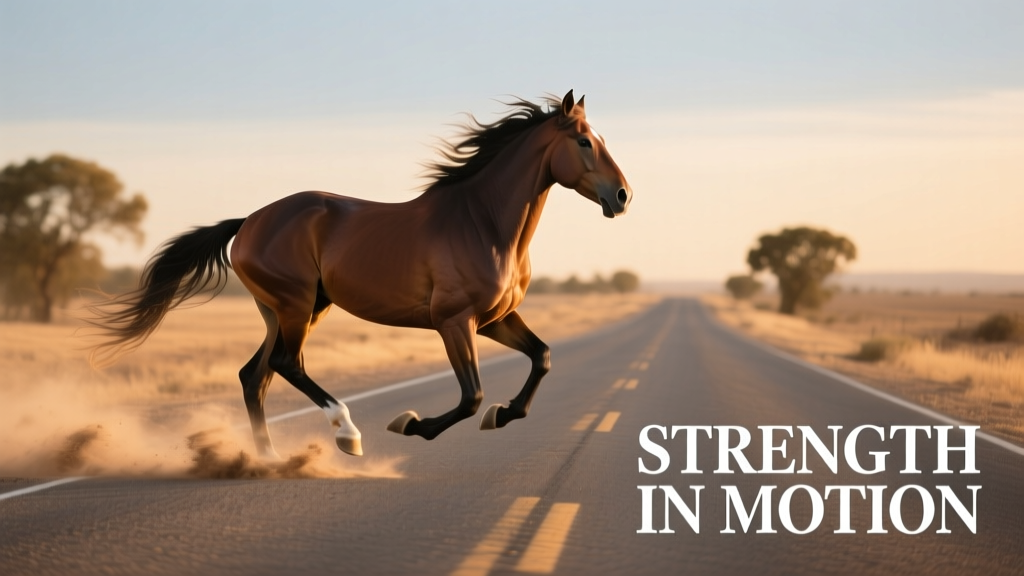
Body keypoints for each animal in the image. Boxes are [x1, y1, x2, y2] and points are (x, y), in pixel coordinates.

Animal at [90, 90, 632, 459]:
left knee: (254, 376)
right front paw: (410, 423)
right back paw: (346, 434)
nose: (623, 196)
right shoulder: (455, 322)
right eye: (584, 142)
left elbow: (541, 357)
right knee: (286, 365)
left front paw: (503, 414)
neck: (483, 222)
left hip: (293, 309)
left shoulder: (496, 319)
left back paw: (269, 458)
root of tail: (247, 223)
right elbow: (470, 395)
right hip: (296, 306)